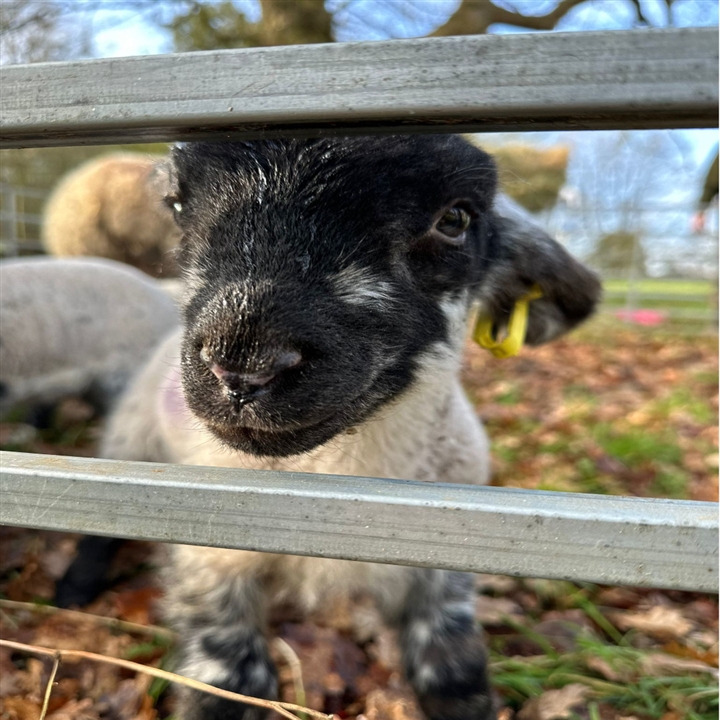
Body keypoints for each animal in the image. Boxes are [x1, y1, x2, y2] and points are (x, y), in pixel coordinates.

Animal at [100, 136, 601, 720]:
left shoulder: (446, 569)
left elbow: (453, 667)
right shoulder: (208, 563)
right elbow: (224, 676)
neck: (338, 488)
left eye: (455, 218)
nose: (245, 365)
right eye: (177, 204)